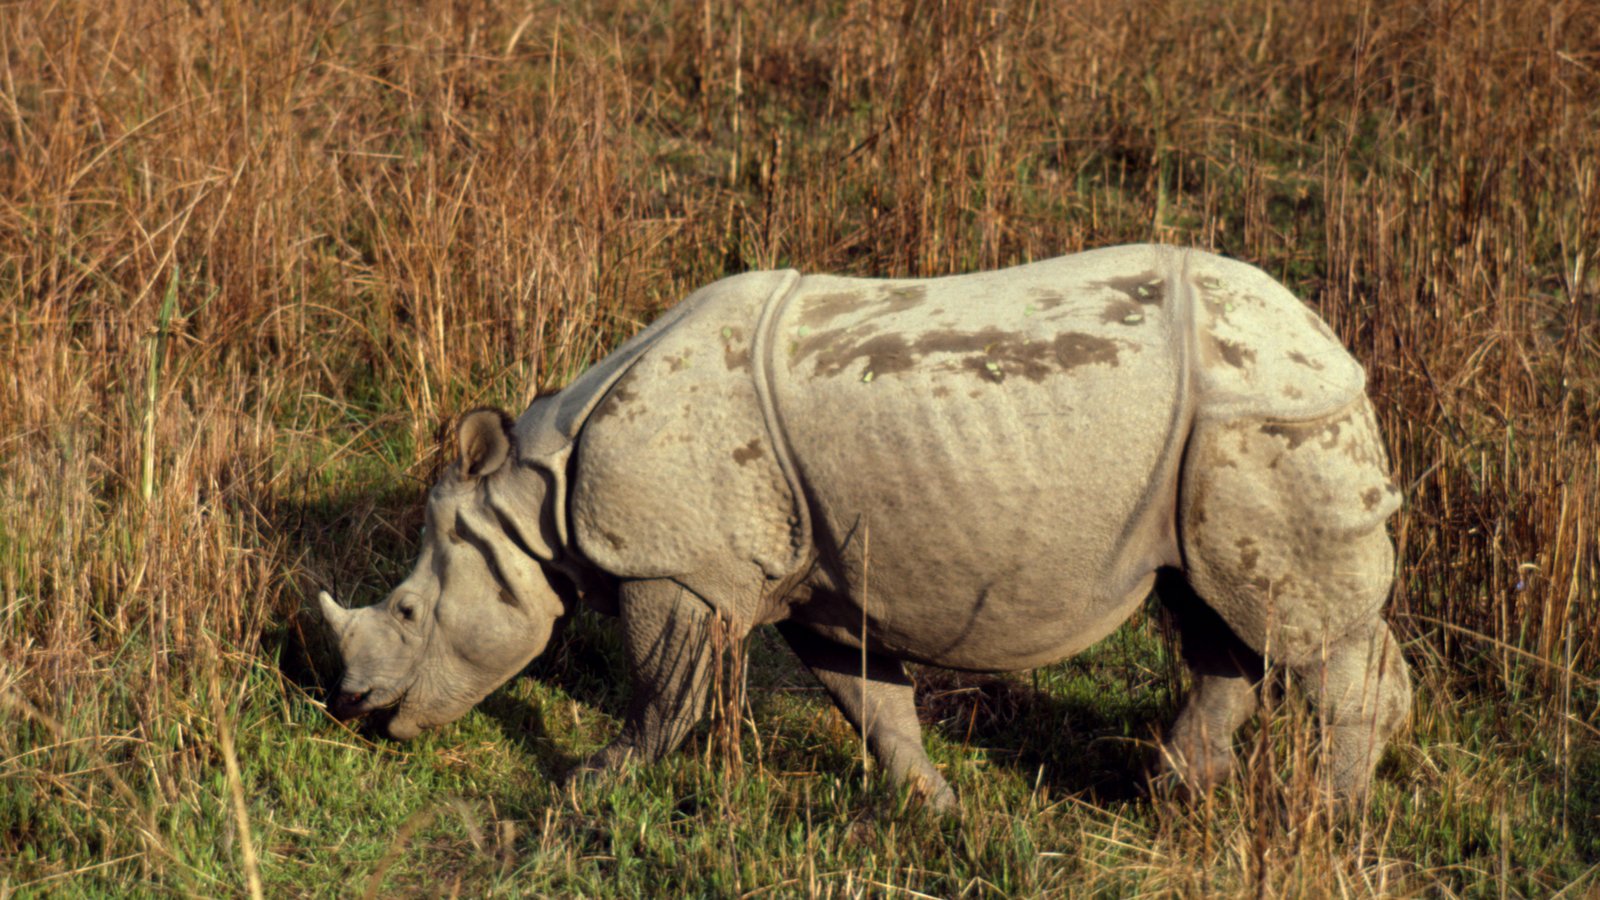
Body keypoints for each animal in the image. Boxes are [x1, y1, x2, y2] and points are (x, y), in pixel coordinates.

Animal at [319, 243, 1412, 810]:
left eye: (408, 610)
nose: (354, 708)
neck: (535, 491)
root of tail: (1333, 346)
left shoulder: (674, 570)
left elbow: (661, 695)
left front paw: (589, 786)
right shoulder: (823, 576)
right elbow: (872, 705)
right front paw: (935, 806)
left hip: (1262, 423)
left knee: (1296, 633)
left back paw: (1327, 820)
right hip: (1212, 445)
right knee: (1218, 617)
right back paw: (1174, 794)